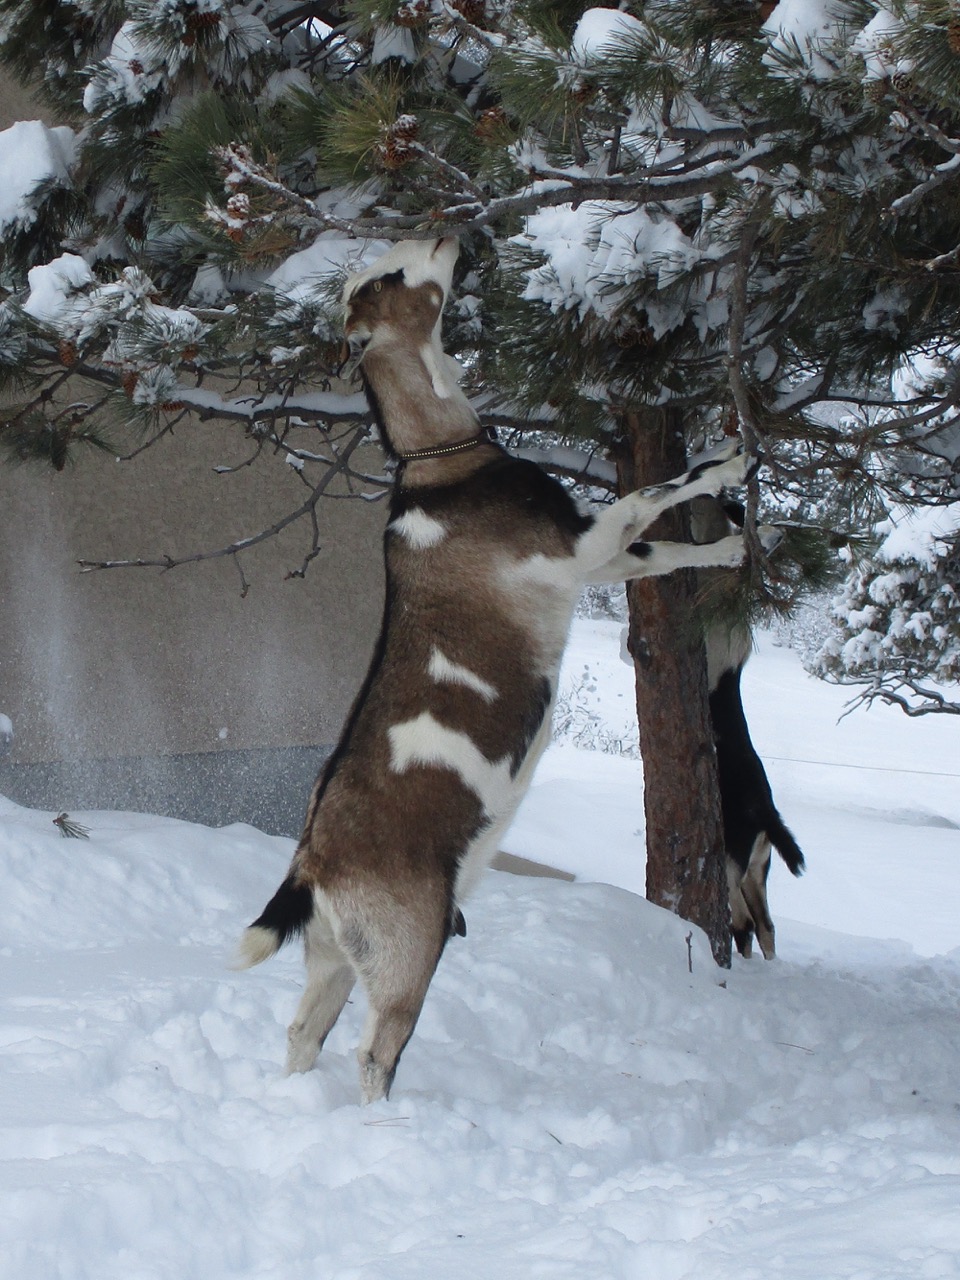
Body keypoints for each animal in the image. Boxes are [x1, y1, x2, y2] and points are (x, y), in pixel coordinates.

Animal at [237, 237, 765, 1103]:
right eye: (388, 277)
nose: (448, 235)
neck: (441, 463)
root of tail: (313, 857)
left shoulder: (597, 560)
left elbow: (660, 550)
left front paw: (723, 548)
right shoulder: (579, 546)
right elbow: (651, 495)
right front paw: (724, 465)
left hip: (335, 957)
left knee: (303, 1033)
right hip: (407, 951)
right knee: (376, 1052)